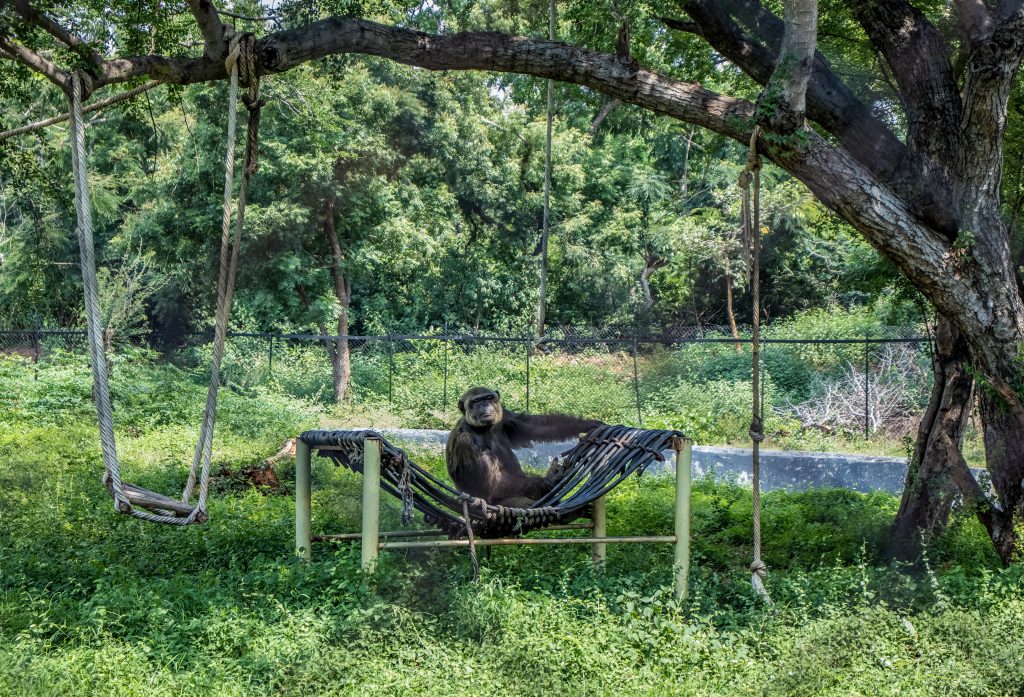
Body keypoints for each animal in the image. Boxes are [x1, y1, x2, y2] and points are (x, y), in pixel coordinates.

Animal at [445, 386, 605, 508]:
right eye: (476, 401)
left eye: (489, 398)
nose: (484, 404)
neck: (484, 429)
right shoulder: (465, 440)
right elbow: (491, 482)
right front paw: (550, 479)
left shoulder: (506, 417)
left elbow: (535, 426)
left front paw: (590, 424)